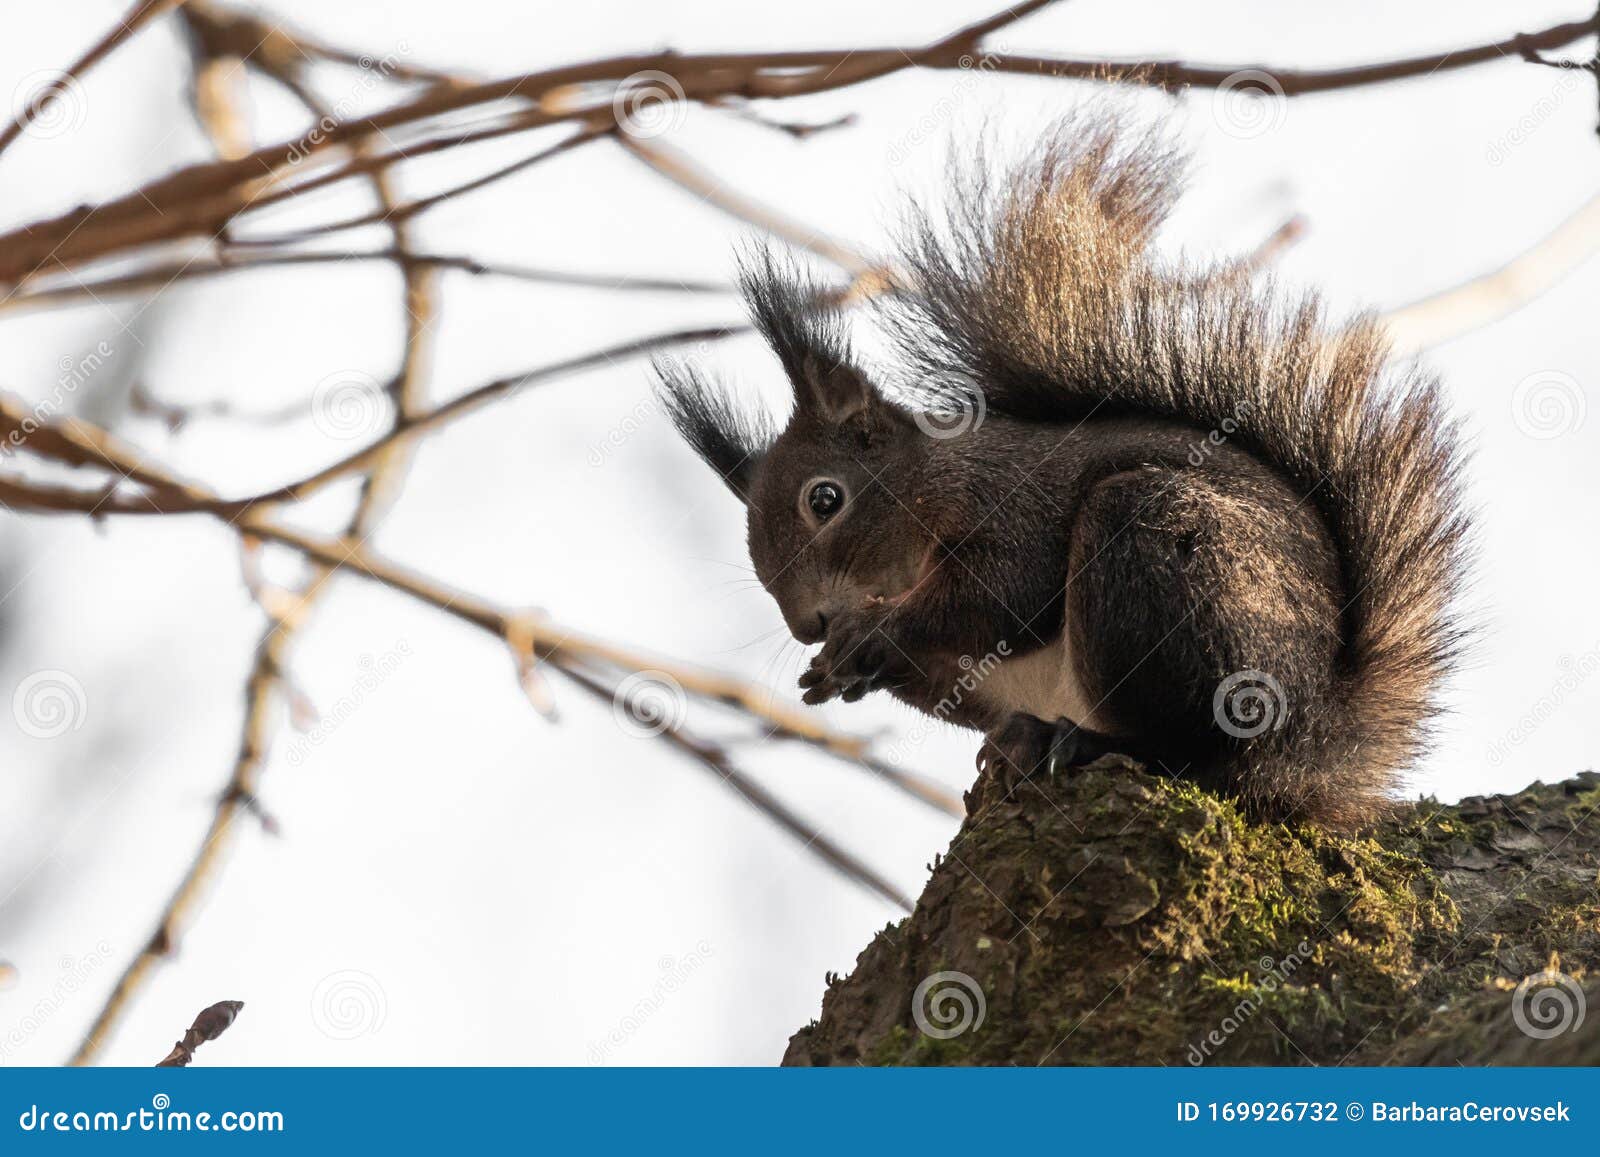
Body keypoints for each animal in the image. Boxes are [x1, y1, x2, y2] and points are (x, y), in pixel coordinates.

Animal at [655, 112, 1472, 829]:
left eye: (825, 499)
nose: (808, 624)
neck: (930, 491)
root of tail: (1314, 742)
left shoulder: (1015, 502)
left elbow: (1005, 593)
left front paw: (873, 634)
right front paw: (835, 669)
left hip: (1166, 557)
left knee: (1201, 759)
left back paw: (1083, 742)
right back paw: (1023, 740)